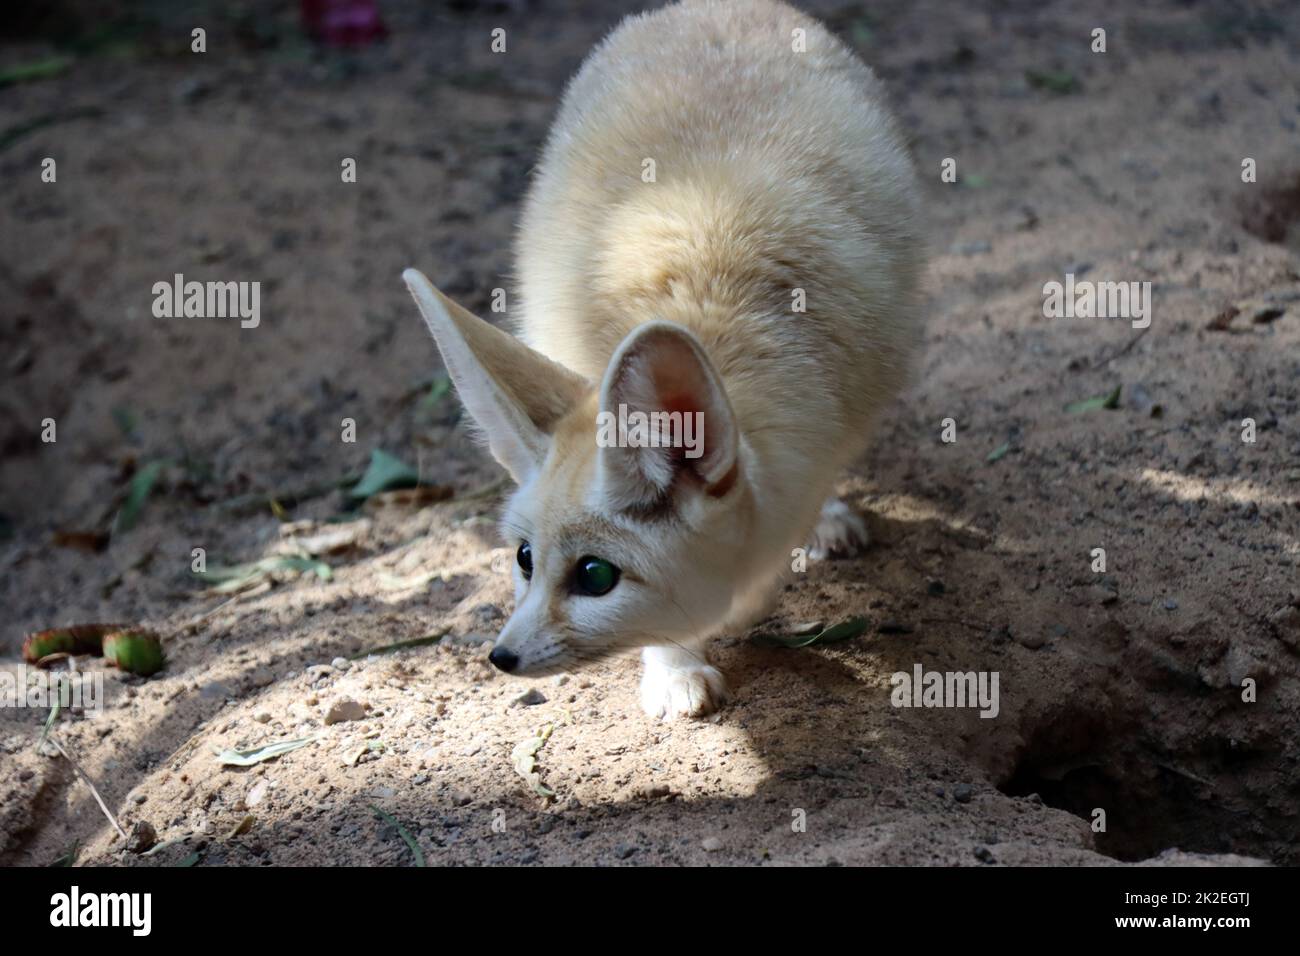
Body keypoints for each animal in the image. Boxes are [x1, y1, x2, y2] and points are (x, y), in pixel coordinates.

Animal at [402, 0, 923, 719]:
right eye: (525, 558)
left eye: (596, 577)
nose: (500, 657)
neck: (707, 304)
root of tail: (711, 6)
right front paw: (675, 666)